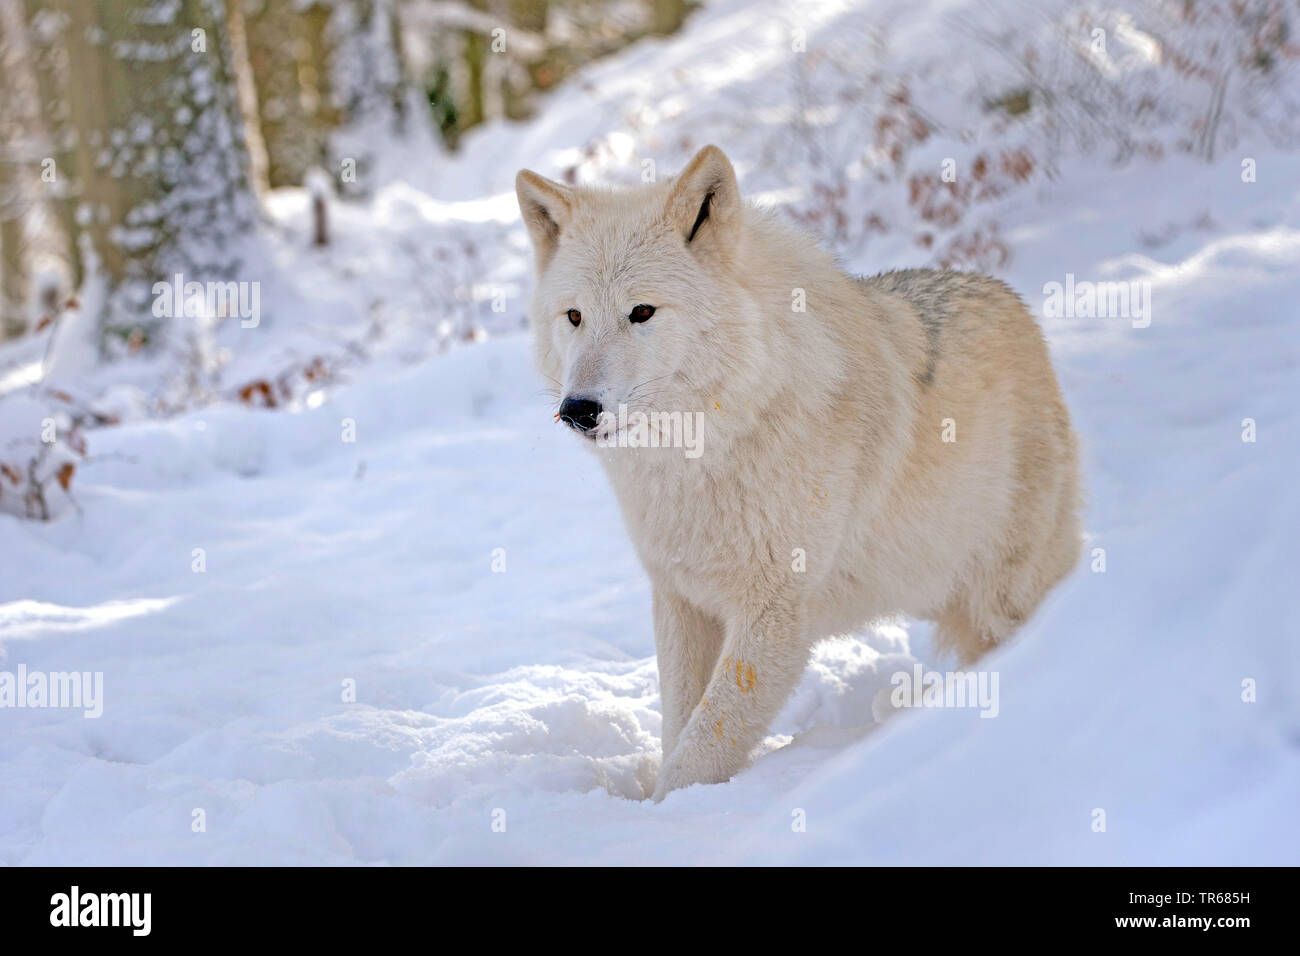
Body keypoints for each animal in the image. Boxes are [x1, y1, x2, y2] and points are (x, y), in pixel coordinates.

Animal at [516, 146, 1081, 800]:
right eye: (574, 316)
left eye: (642, 312)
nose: (578, 409)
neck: (707, 455)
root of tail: (1012, 300)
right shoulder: (681, 601)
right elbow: (679, 725)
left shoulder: (774, 616)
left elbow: (701, 748)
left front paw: (671, 813)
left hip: (1003, 594)